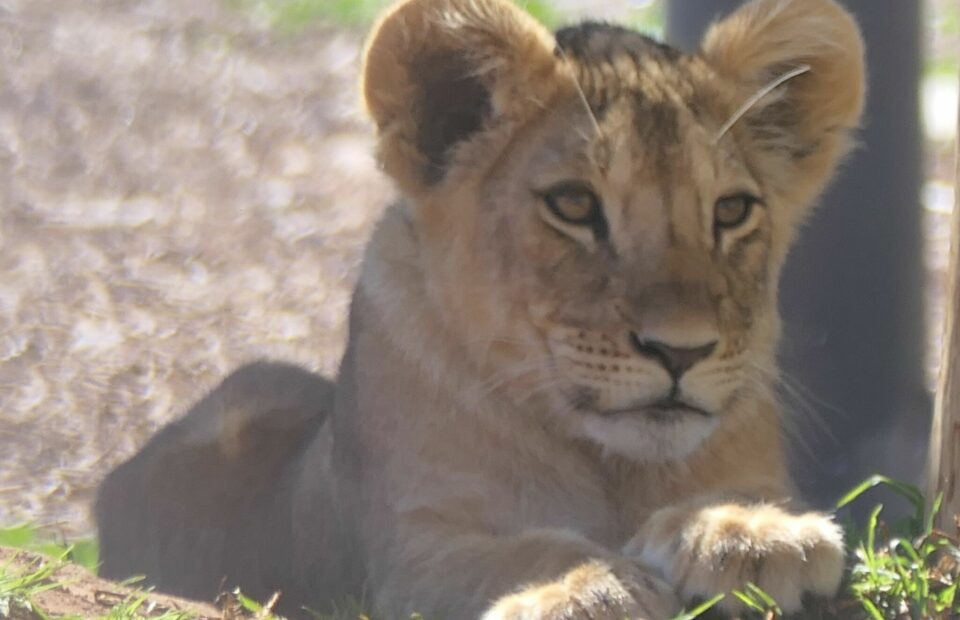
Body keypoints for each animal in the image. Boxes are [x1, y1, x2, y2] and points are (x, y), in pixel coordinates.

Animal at [95, 0, 866, 617]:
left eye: (731, 211)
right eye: (574, 205)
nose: (682, 350)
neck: (609, 466)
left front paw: (750, 532)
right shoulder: (408, 552)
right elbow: (512, 551)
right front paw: (587, 587)